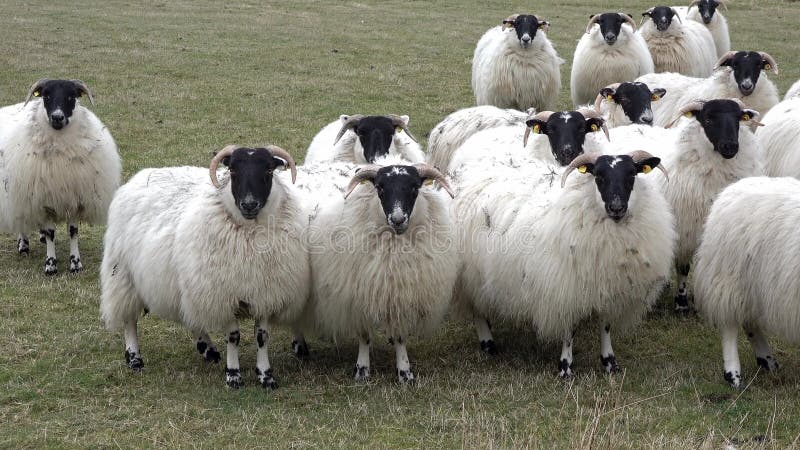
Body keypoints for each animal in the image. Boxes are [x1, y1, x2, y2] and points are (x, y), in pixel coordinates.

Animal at [0, 79, 121, 275]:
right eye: (46, 95)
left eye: (71, 96)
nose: (57, 117)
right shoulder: (46, 200)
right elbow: (51, 233)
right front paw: (50, 265)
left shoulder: (74, 198)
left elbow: (73, 231)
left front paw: (75, 263)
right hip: (16, 190)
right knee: (20, 217)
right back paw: (23, 245)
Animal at [99, 145, 309, 389]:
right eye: (233, 170)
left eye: (268, 170)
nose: (249, 204)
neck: (250, 236)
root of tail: (139, 177)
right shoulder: (223, 295)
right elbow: (233, 337)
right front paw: (233, 376)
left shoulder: (265, 294)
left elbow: (262, 337)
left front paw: (266, 376)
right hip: (124, 275)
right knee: (129, 319)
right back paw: (134, 358)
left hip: (182, 280)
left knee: (189, 315)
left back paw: (208, 349)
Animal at [304, 154, 458, 383]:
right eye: (380, 189)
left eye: (415, 188)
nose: (398, 219)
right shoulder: (358, 297)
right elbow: (364, 335)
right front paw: (362, 370)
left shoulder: (399, 295)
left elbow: (400, 336)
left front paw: (405, 372)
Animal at [450, 149, 675, 374]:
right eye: (599, 177)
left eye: (632, 175)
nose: (617, 207)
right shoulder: (565, 289)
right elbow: (570, 330)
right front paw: (565, 367)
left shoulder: (608, 287)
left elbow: (605, 326)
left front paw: (609, 363)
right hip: (468, 275)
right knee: (477, 310)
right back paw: (488, 344)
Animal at [693, 176, 800, 388]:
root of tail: (730, 189)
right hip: (729, 279)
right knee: (730, 325)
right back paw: (733, 375)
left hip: (752, 286)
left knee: (750, 323)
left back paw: (768, 362)